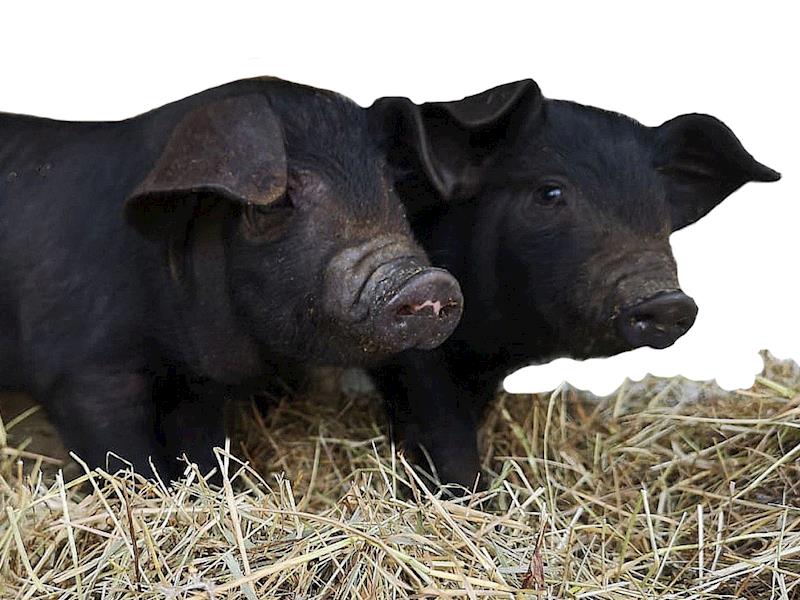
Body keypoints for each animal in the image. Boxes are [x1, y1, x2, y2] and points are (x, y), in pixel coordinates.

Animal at [0, 77, 463, 480]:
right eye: (273, 203)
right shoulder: (81, 374)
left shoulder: (195, 382)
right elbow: (125, 459)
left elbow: (201, 446)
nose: (427, 281)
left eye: (391, 185)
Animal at [368, 79, 781, 488]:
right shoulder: (414, 338)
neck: (495, 340)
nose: (667, 301)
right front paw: (466, 494)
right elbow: (445, 429)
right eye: (549, 192)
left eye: (660, 204)